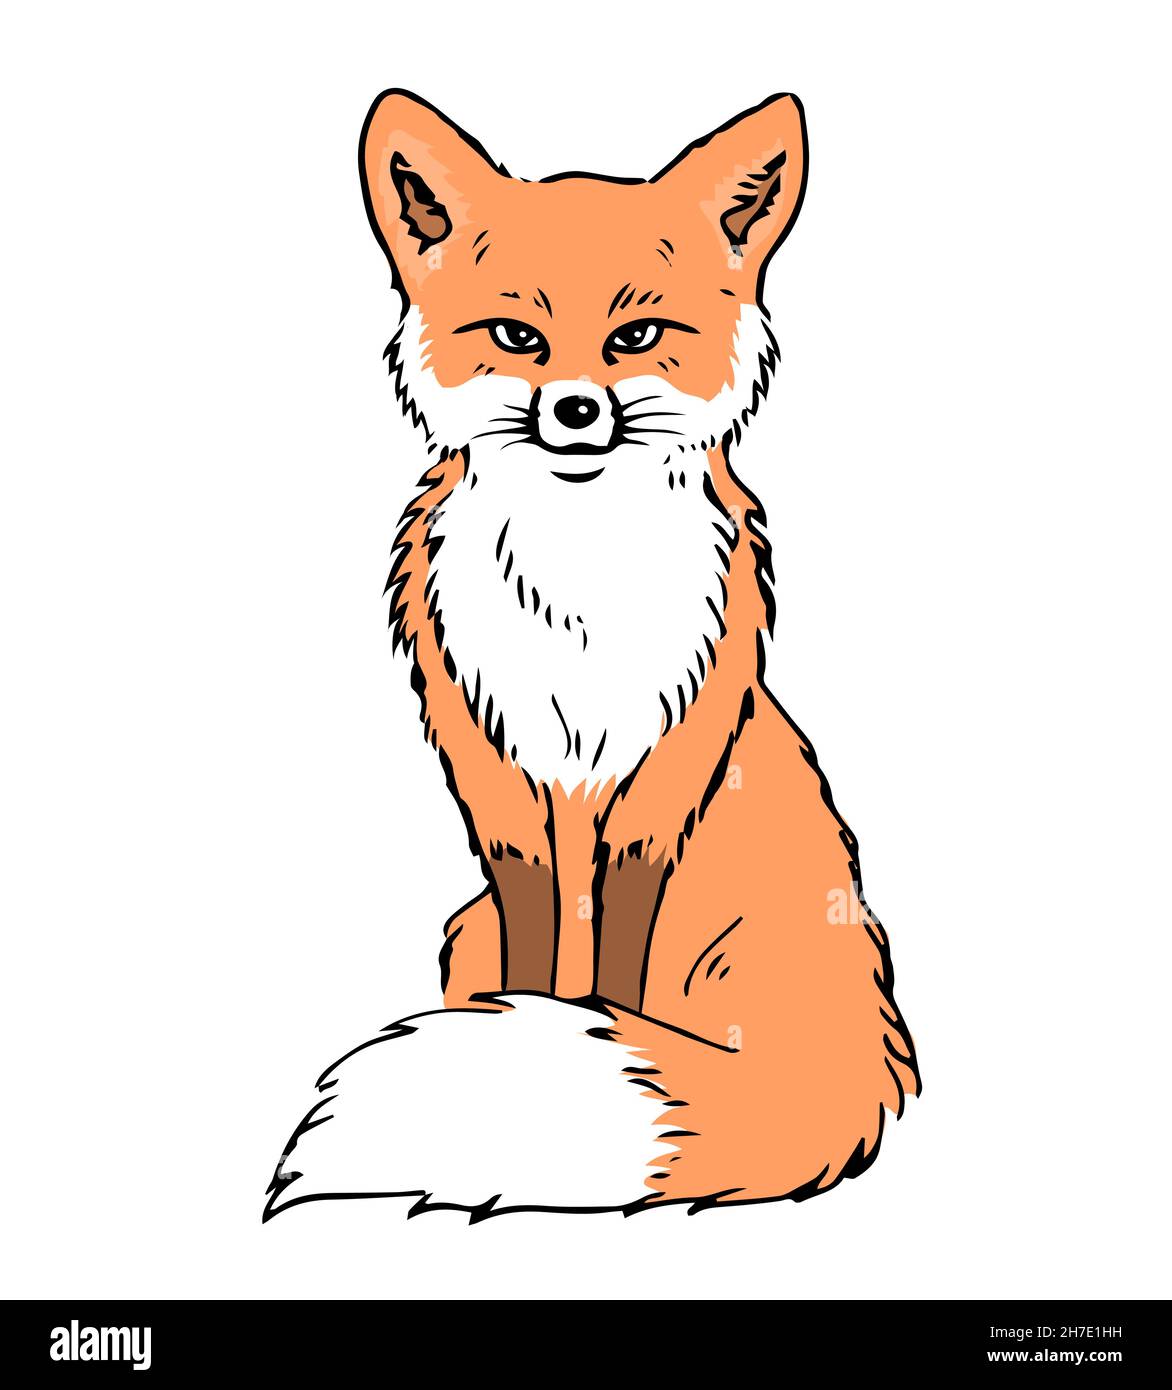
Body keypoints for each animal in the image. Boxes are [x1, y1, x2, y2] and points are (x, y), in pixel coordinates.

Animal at [265, 90, 920, 1218]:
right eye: (518, 337)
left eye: (636, 336)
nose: (575, 409)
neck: (574, 593)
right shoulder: (503, 787)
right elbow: (542, 962)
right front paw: (535, 1031)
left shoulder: (654, 785)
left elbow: (614, 980)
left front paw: (596, 1033)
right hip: (464, 924)